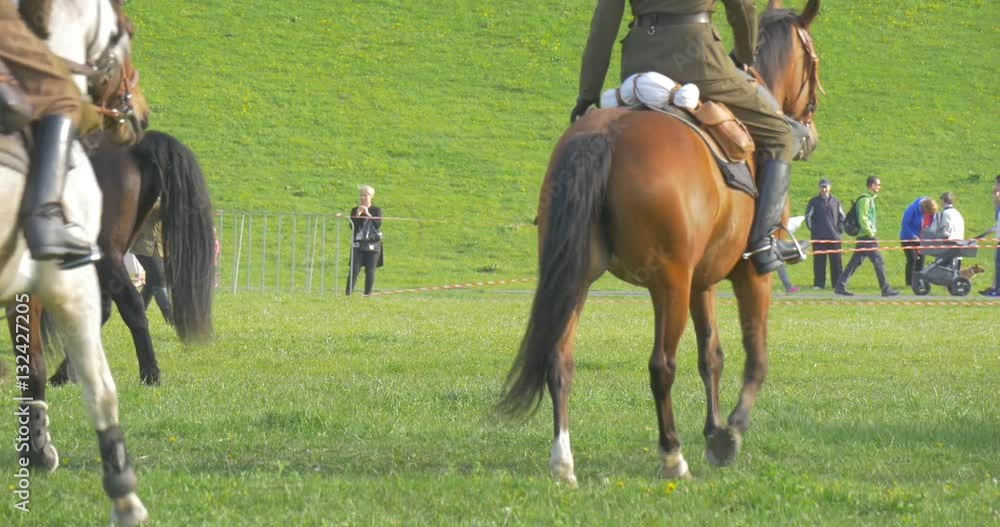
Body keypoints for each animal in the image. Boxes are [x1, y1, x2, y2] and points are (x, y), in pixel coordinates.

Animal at [500, 0, 823, 485]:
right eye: (814, 61)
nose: (808, 135)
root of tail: (608, 133)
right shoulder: (749, 274)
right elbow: (755, 357)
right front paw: (730, 433)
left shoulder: (701, 281)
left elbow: (711, 355)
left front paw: (713, 429)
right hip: (668, 284)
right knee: (661, 365)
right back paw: (672, 456)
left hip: (580, 278)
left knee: (560, 359)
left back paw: (563, 460)